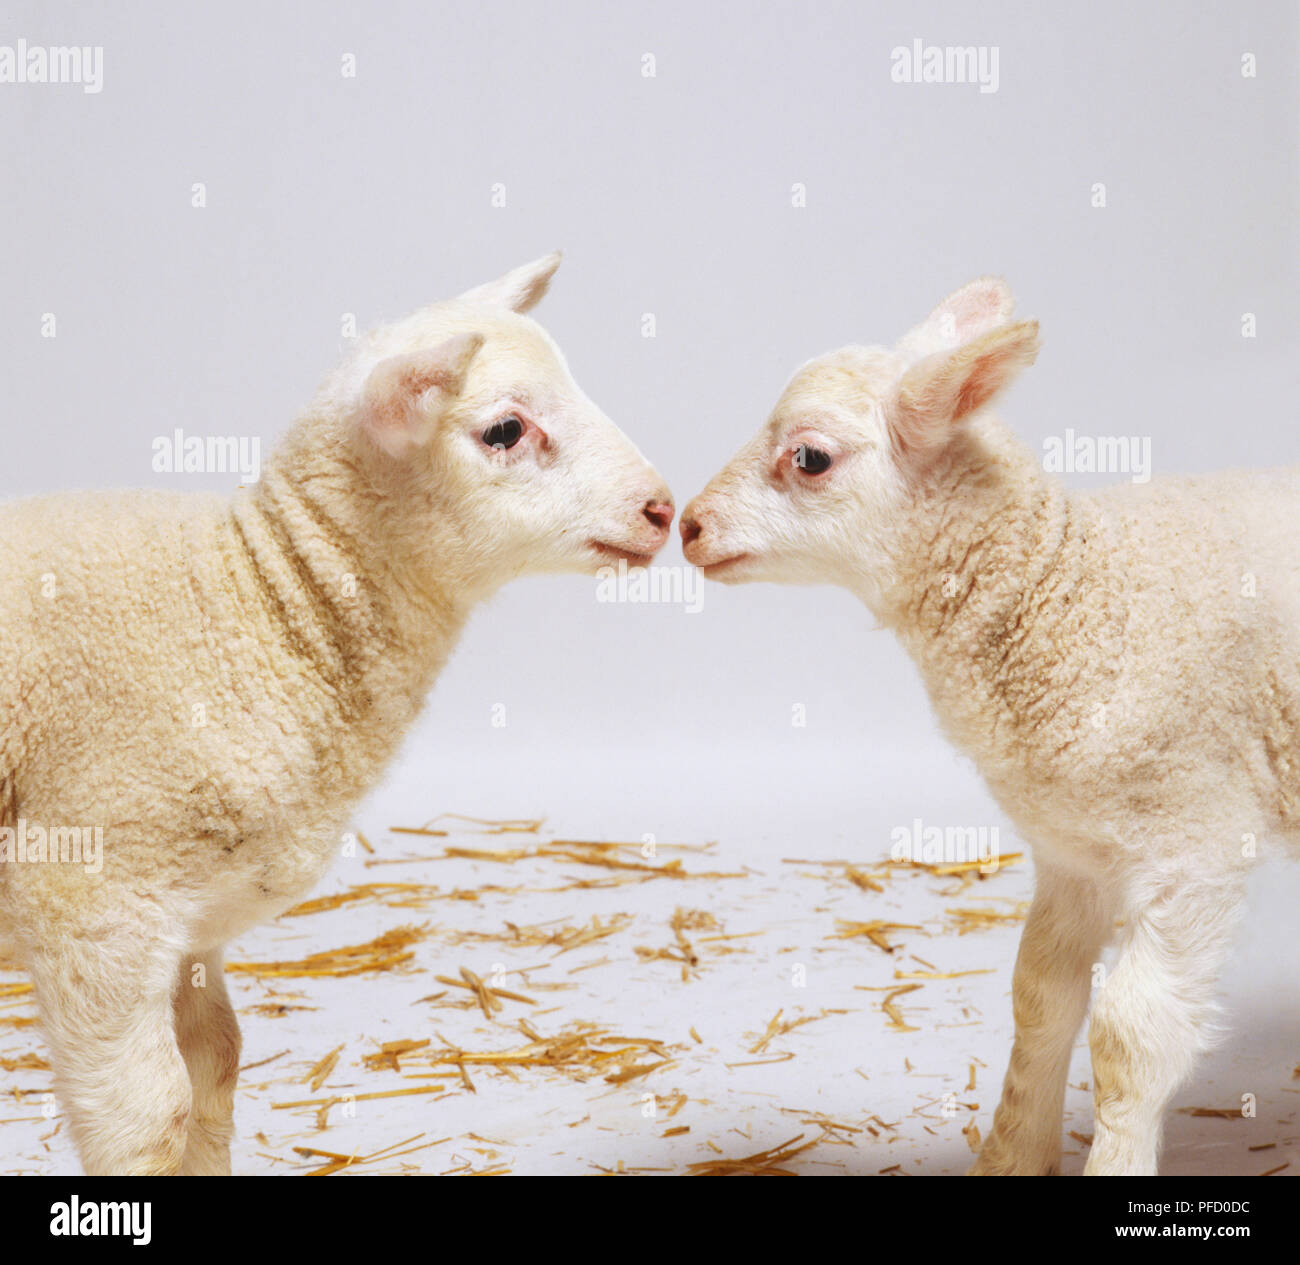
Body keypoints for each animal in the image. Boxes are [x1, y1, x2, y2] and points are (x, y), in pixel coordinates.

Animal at [0, 253, 674, 1176]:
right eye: (504, 430)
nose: (662, 508)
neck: (252, 610)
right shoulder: (93, 898)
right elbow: (148, 1116)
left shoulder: (192, 931)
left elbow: (216, 1070)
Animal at [681, 278, 1299, 1176]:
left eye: (811, 457)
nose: (688, 525)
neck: (1074, 587)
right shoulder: (1072, 850)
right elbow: (1039, 996)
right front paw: (1011, 1154)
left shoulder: (1194, 839)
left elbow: (1129, 1037)